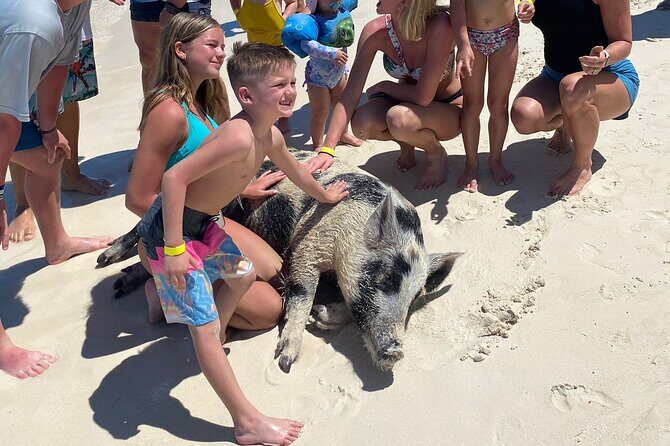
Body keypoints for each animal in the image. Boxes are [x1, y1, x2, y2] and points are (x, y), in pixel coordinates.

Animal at [223, 149, 459, 373]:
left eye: (415, 297)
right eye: (387, 277)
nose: (396, 351)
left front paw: (318, 314)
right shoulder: (311, 238)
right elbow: (303, 289)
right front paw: (286, 361)